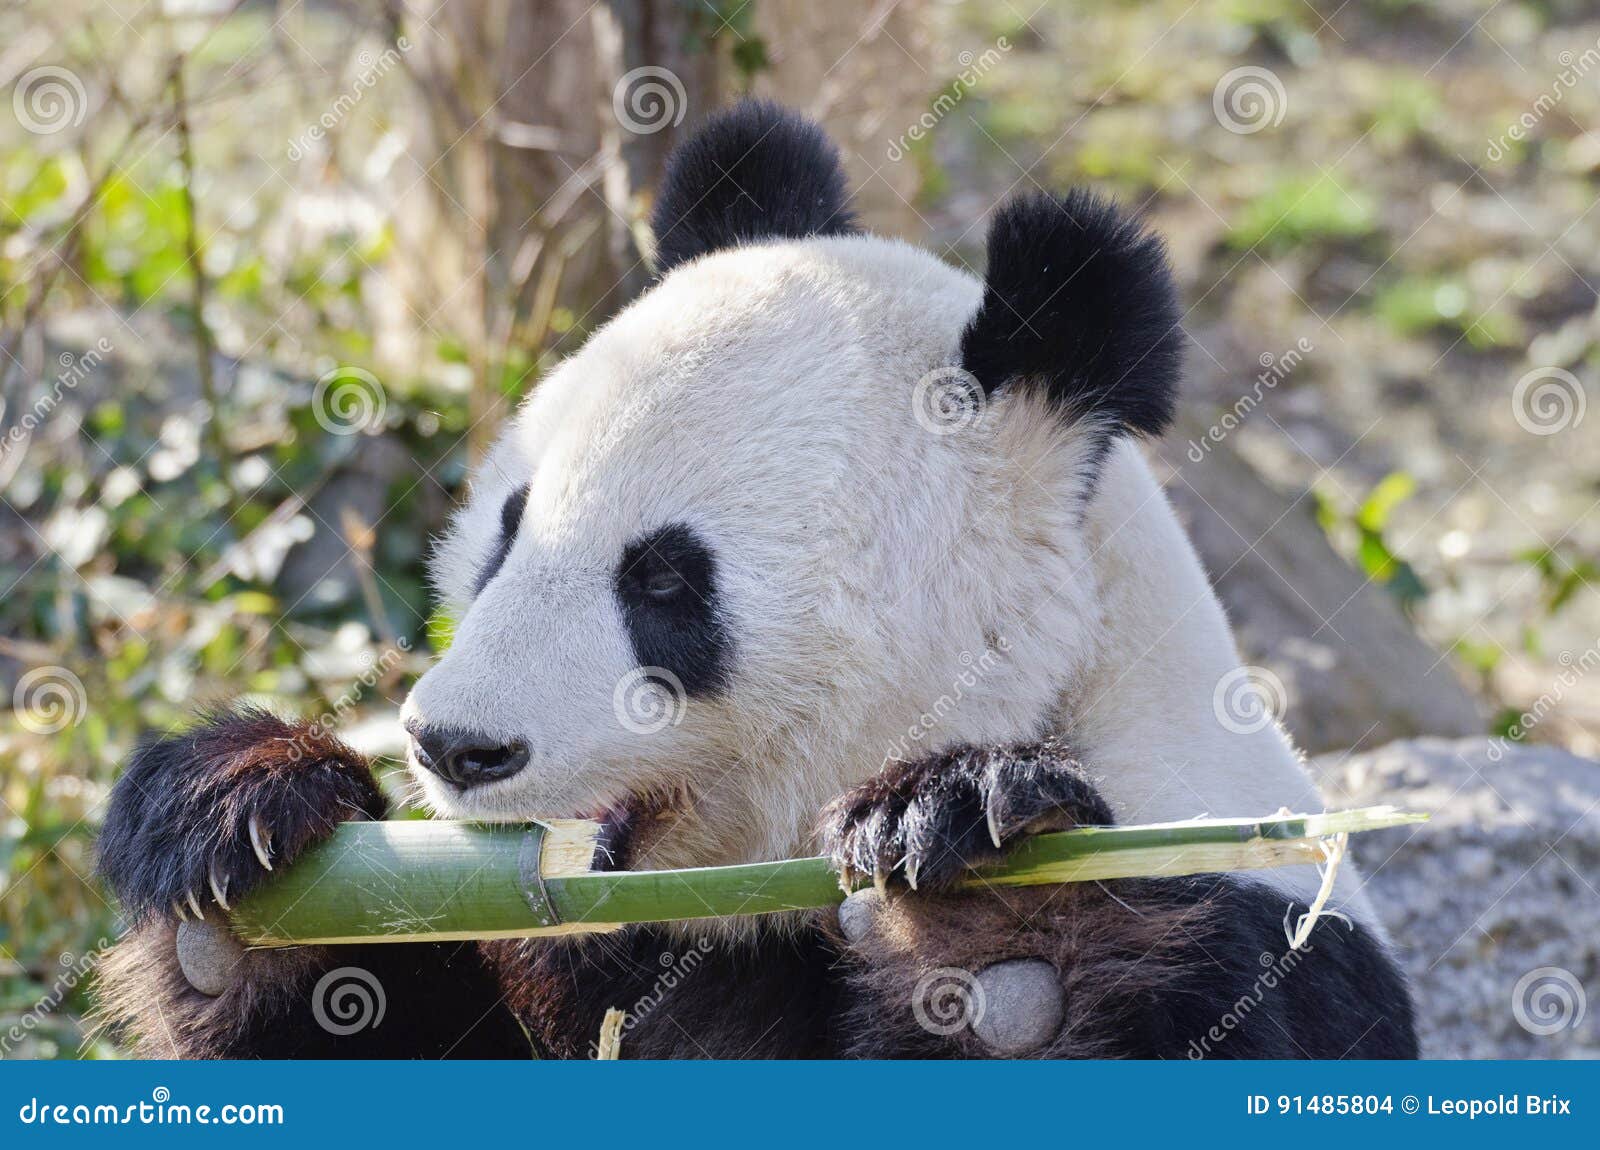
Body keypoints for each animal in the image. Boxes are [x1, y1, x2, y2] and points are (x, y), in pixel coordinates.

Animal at [95, 101, 1417, 1059]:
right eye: (505, 533)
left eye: (666, 581)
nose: (453, 746)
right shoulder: (573, 949)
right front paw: (235, 826)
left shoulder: (1262, 915)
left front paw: (992, 918)